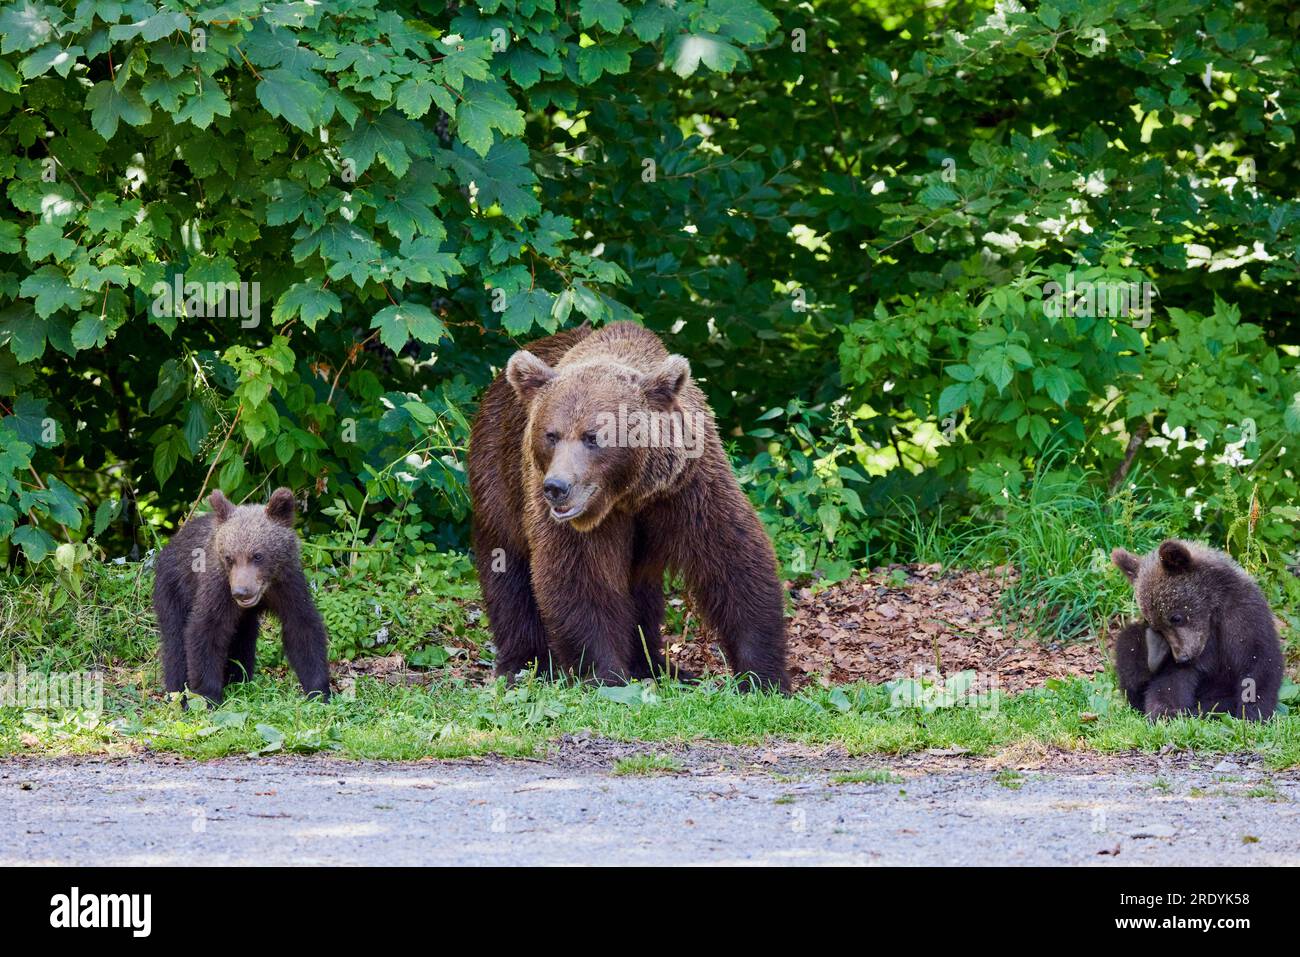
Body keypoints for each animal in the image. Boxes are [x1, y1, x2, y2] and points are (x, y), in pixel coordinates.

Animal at [152, 487, 330, 705]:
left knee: (243, 639)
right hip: (173, 587)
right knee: (175, 641)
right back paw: (177, 694)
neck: (265, 588)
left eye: (258, 555)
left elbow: (302, 628)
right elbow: (205, 631)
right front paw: (207, 697)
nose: (240, 591)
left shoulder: (288, 585)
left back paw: (239, 680)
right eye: (229, 557)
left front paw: (319, 691)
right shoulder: (218, 588)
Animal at [468, 321, 789, 691]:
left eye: (592, 437)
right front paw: (606, 675)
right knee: (508, 569)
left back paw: (656, 665)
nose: (557, 487)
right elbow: (580, 578)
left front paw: (764, 676)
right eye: (551, 434)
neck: (628, 494)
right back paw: (523, 664)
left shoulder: (688, 488)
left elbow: (733, 562)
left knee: (641, 593)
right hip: (498, 477)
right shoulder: (576, 519)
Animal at [1110, 539, 1283, 721]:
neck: (1212, 612)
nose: (1182, 658)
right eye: (1156, 626)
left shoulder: (1243, 618)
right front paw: (1165, 711)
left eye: (1176, 617)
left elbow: (1259, 663)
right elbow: (1172, 681)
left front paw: (1252, 714)